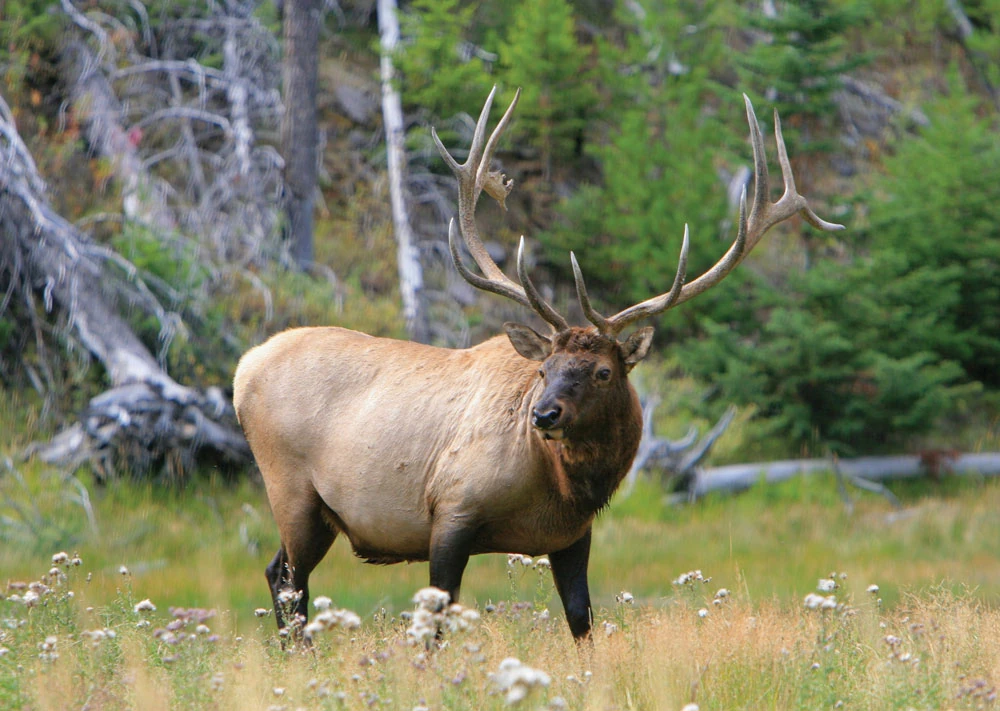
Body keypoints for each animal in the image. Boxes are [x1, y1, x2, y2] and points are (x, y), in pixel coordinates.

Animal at [232, 87, 842, 641]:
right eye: (544, 370)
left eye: (602, 372)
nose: (543, 416)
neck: (559, 487)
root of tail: (242, 369)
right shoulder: (450, 510)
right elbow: (433, 625)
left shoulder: (572, 537)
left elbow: (581, 621)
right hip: (292, 488)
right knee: (289, 582)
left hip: (317, 512)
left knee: (277, 575)